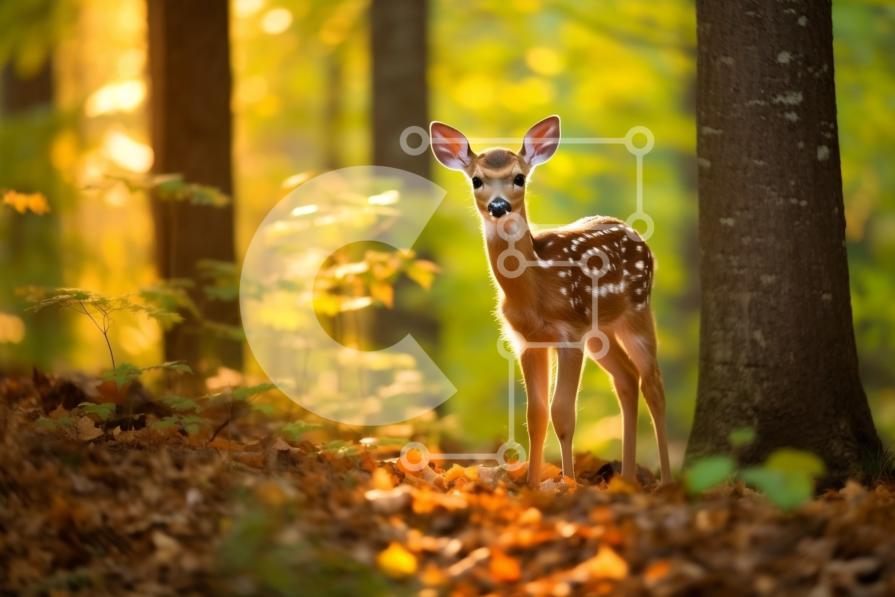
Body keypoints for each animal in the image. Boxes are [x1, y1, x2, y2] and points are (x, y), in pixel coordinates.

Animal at [429, 115, 671, 488]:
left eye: (519, 177)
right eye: (476, 179)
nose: (499, 206)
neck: (536, 287)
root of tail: (636, 235)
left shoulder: (569, 333)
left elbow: (563, 413)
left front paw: (568, 482)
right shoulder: (527, 341)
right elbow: (536, 415)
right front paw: (532, 485)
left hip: (637, 310)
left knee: (653, 384)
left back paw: (667, 481)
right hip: (600, 332)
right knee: (628, 379)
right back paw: (627, 478)